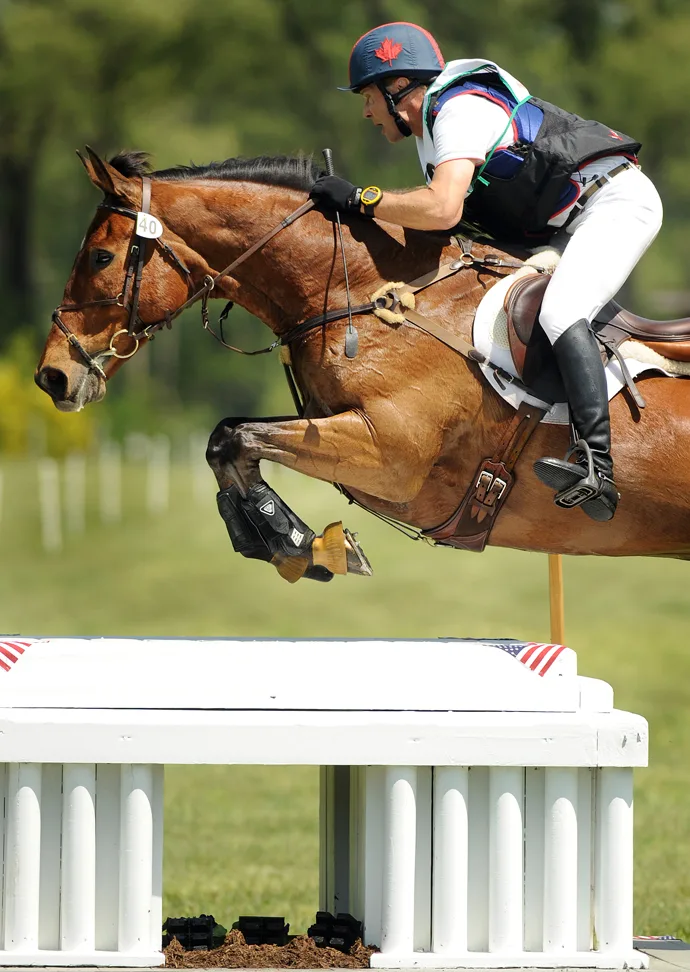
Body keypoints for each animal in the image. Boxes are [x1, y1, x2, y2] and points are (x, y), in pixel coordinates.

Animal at [35, 147, 690, 583]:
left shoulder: (390, 454)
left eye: (100, 257)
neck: (371, 293)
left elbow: (235, 436)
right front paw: (293, 542)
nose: (52, 375)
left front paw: (291, 538)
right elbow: (227, 437)